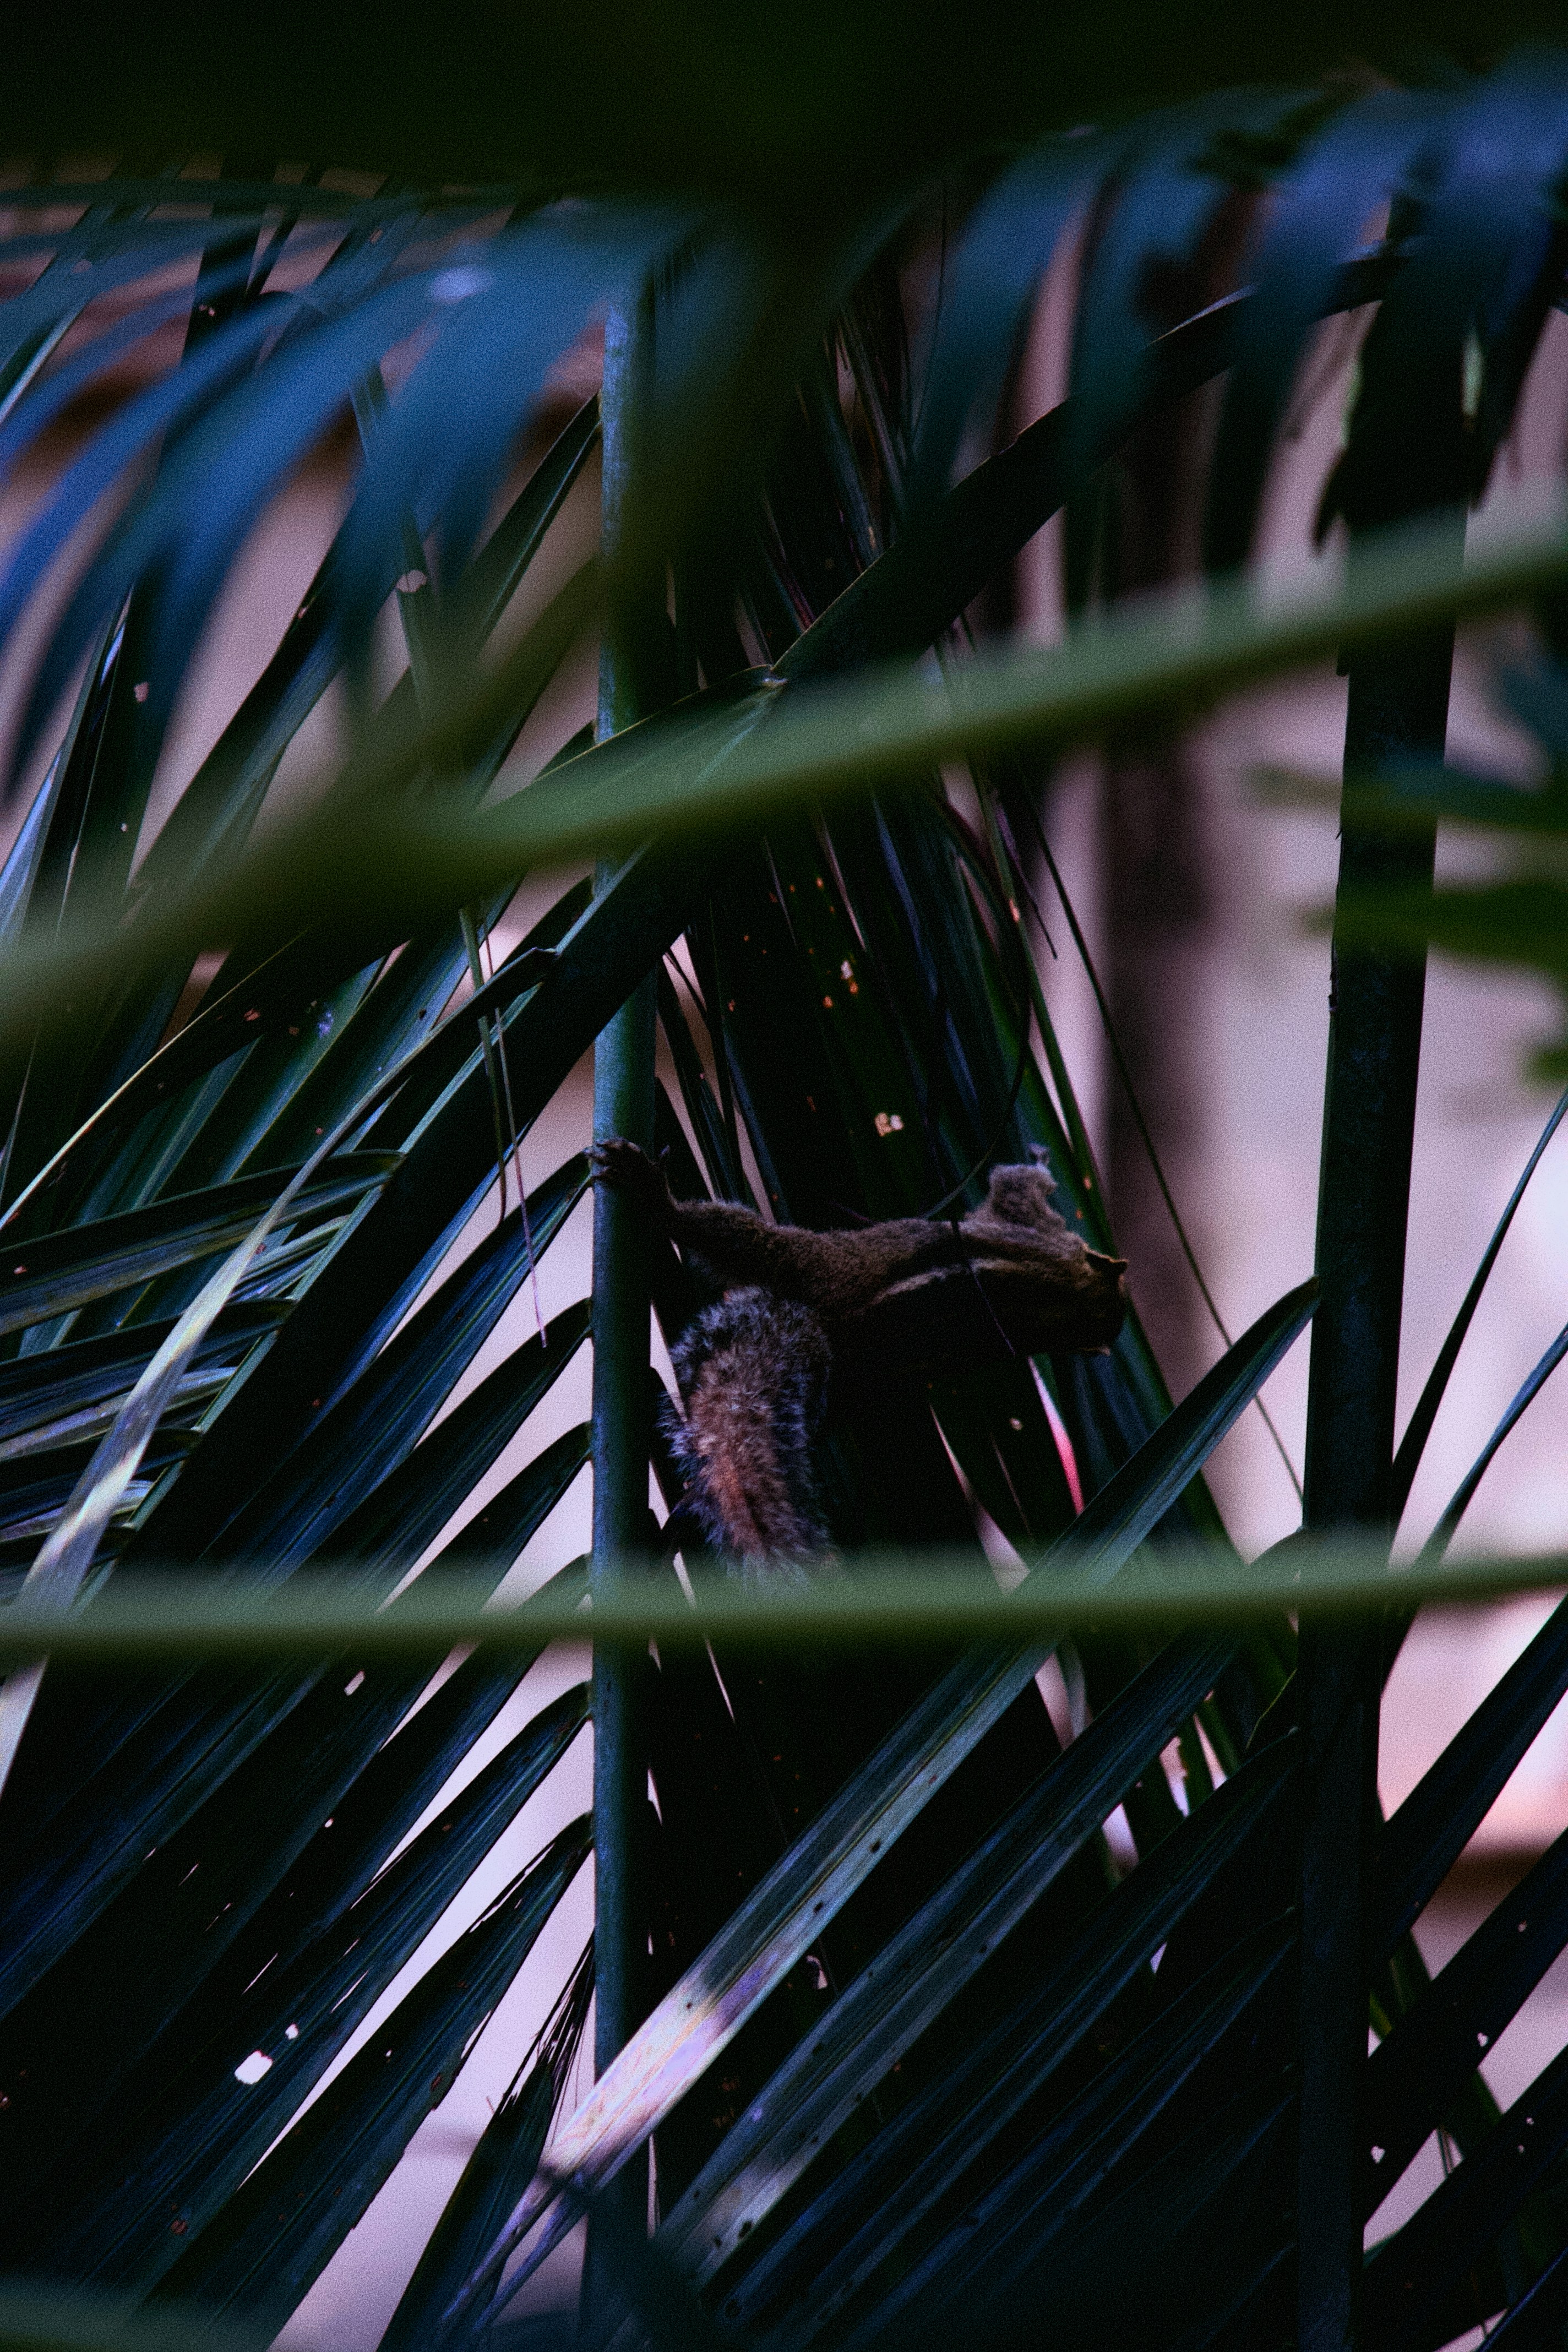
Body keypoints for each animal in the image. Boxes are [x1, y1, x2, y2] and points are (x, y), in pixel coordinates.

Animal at [591, 1139, 1126, 1575]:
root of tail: (822, 1327)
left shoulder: (1032, 1235)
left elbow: (1013, 1189)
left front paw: (1036, 1165)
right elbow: (1014, 1192)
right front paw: (1040, 1162)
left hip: (827, 1262)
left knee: (760, 1245)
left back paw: (660, 1202)